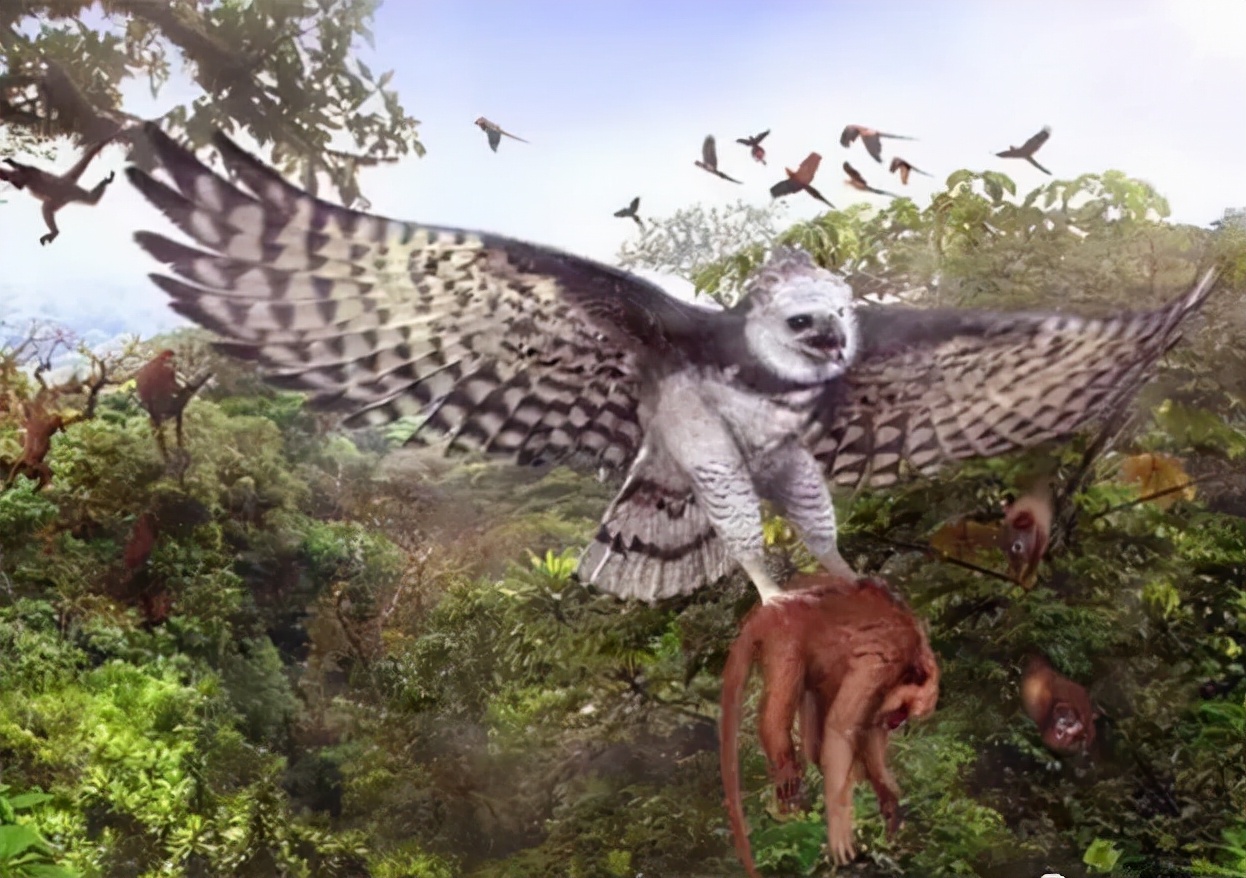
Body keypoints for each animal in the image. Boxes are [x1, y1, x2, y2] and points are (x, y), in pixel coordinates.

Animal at [721, 572, 940, 873]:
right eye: (903, 710)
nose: (896, 723)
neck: (913, 654)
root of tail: (777, 606)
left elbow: (866, 731)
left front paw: (888, 800)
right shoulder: (881, 664)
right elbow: (841, 727)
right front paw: (839, 830)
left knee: (816, 732)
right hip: (785, 635)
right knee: (783, 699)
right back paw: (782, 756)